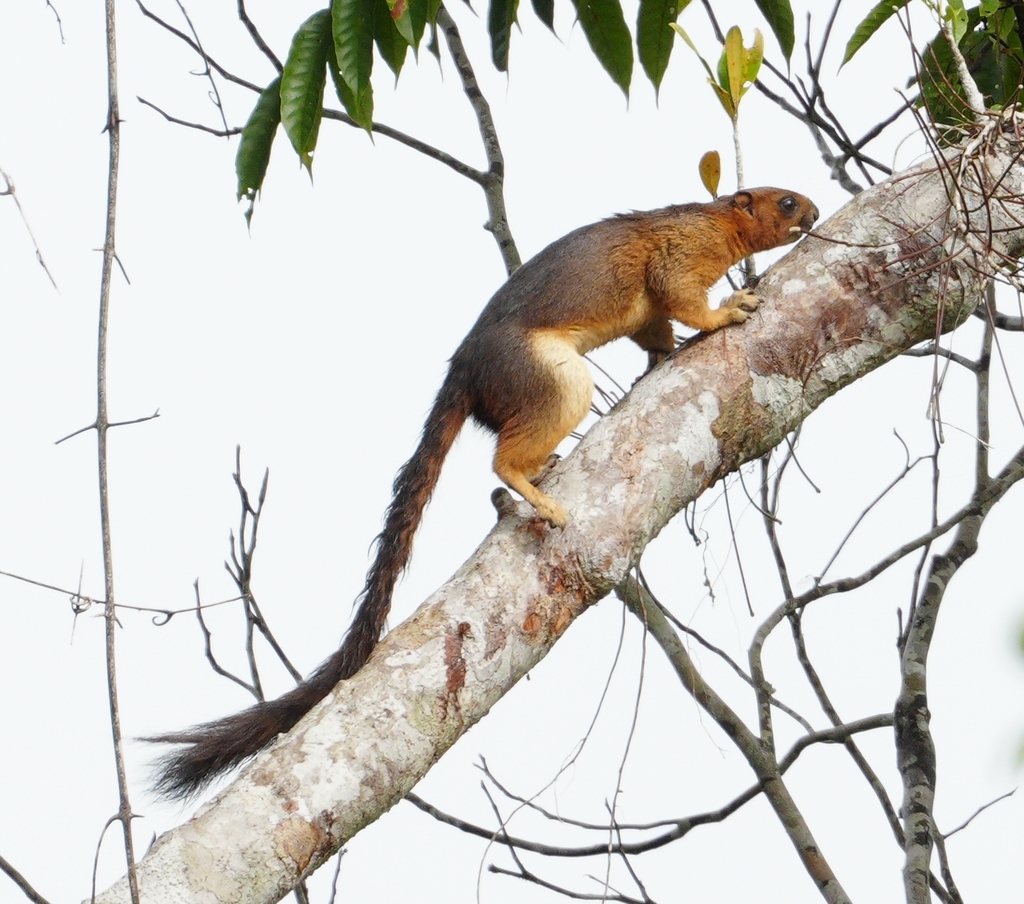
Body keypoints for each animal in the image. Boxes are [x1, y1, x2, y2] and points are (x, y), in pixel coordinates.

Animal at [150, 187, 818, 800]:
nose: (812, 213)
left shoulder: (651, 307)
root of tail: (466, 369)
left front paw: (658, 359)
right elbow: (683, 299)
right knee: (502, 459)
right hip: (551, 376)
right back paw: (539, 495)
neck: (714, 221)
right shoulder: (682, 254)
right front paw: (729, 311)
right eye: (786, 201)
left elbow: (656, 330)